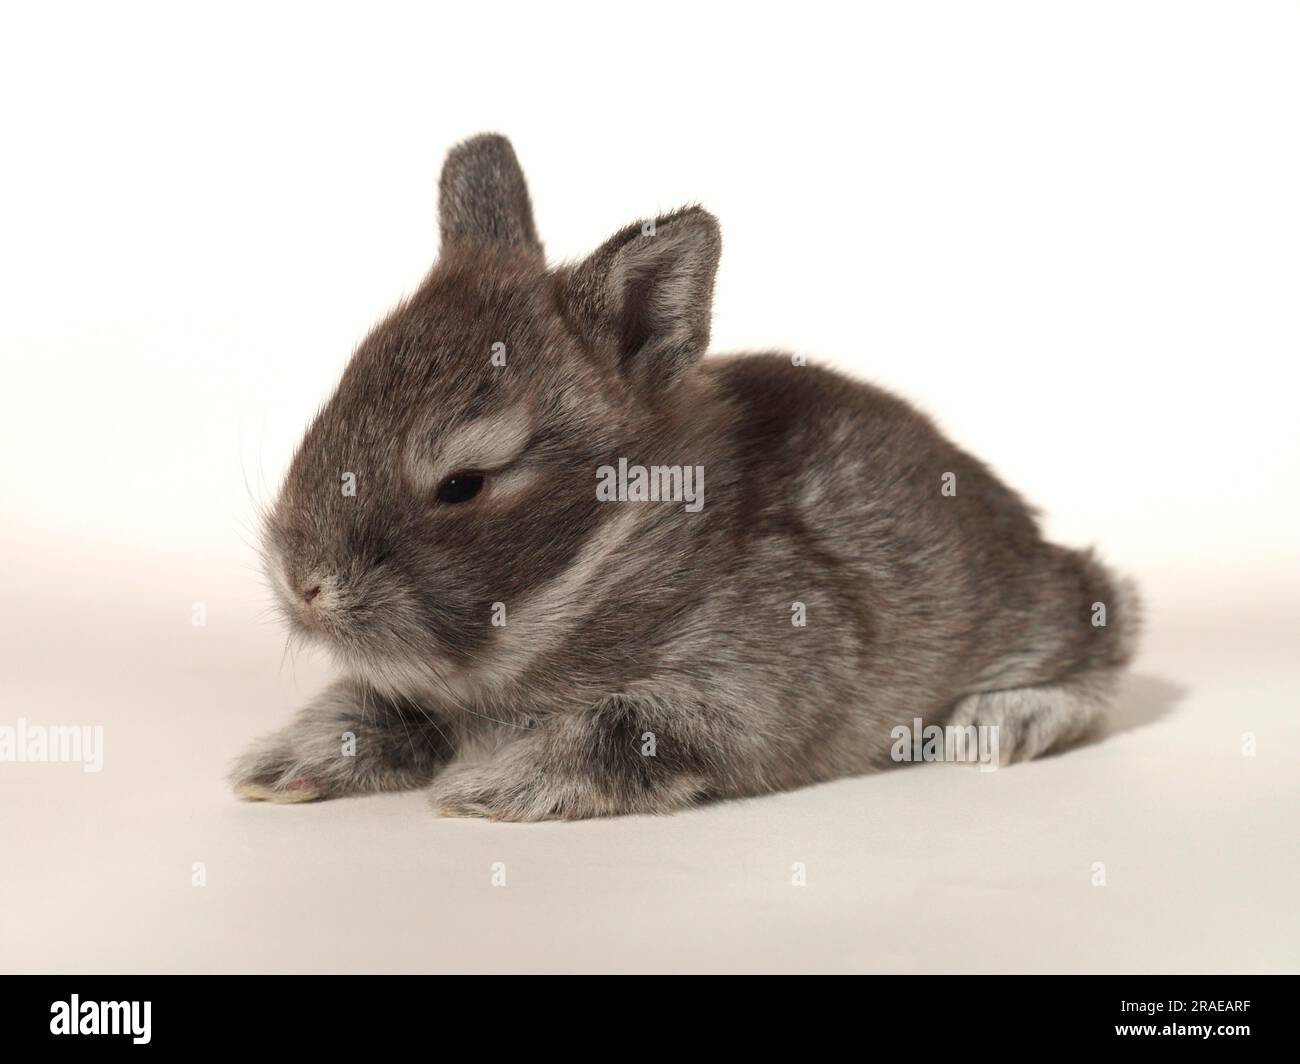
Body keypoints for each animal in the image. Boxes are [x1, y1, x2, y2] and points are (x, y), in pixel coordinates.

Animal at [230, 133, 1140, 821]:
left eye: (464, 484)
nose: (303, 583)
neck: (618, 556)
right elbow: (369, 708)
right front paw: (277, 766)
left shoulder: (740, 687)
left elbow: (619, 729)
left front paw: (484, 787)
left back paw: (998, 723)